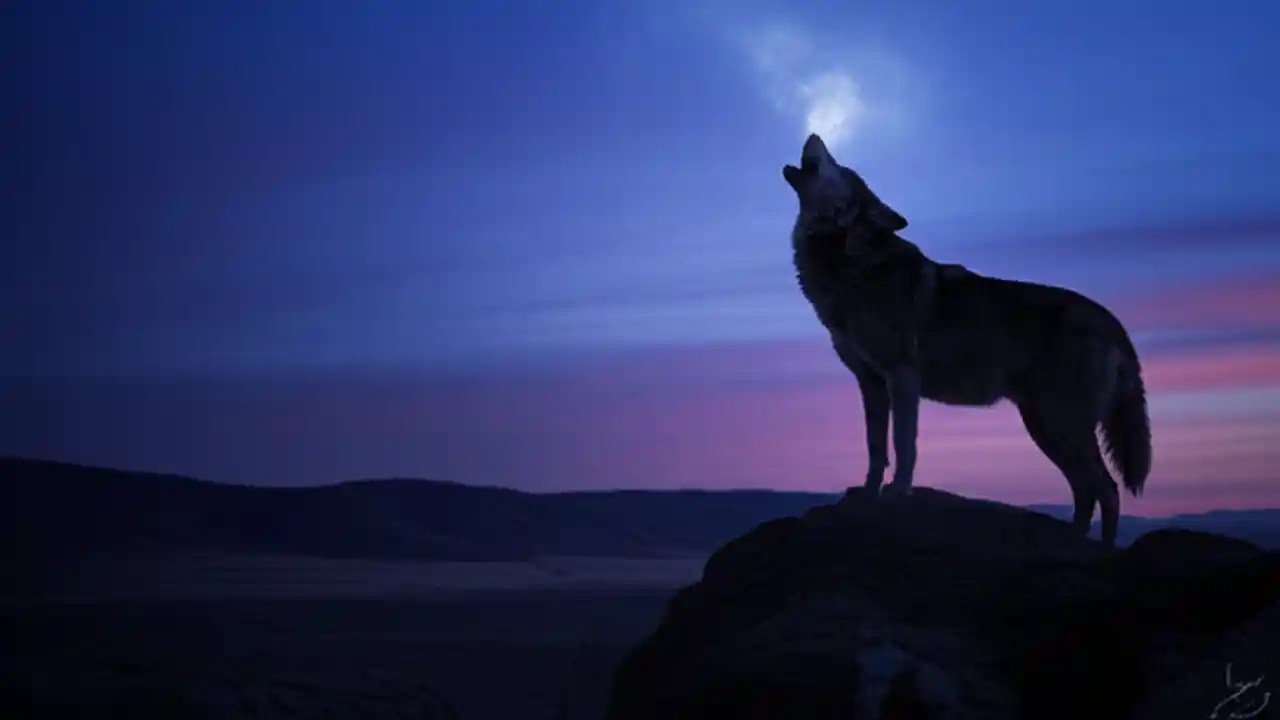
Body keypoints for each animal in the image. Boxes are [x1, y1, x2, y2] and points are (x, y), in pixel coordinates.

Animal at [783, 134, 1151, 546]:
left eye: (838, 166)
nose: (814, 135)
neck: (848, 258)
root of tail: (1112, 320)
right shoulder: (871, 383)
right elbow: (876, 447)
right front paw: (867, 493)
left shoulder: (902, 377)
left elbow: (904, 444)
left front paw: (897, 493)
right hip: (1045, 428)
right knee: (1085, 489)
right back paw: (1070, 538)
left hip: (1063, 426)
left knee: (1108, 489)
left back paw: (1102, 548)